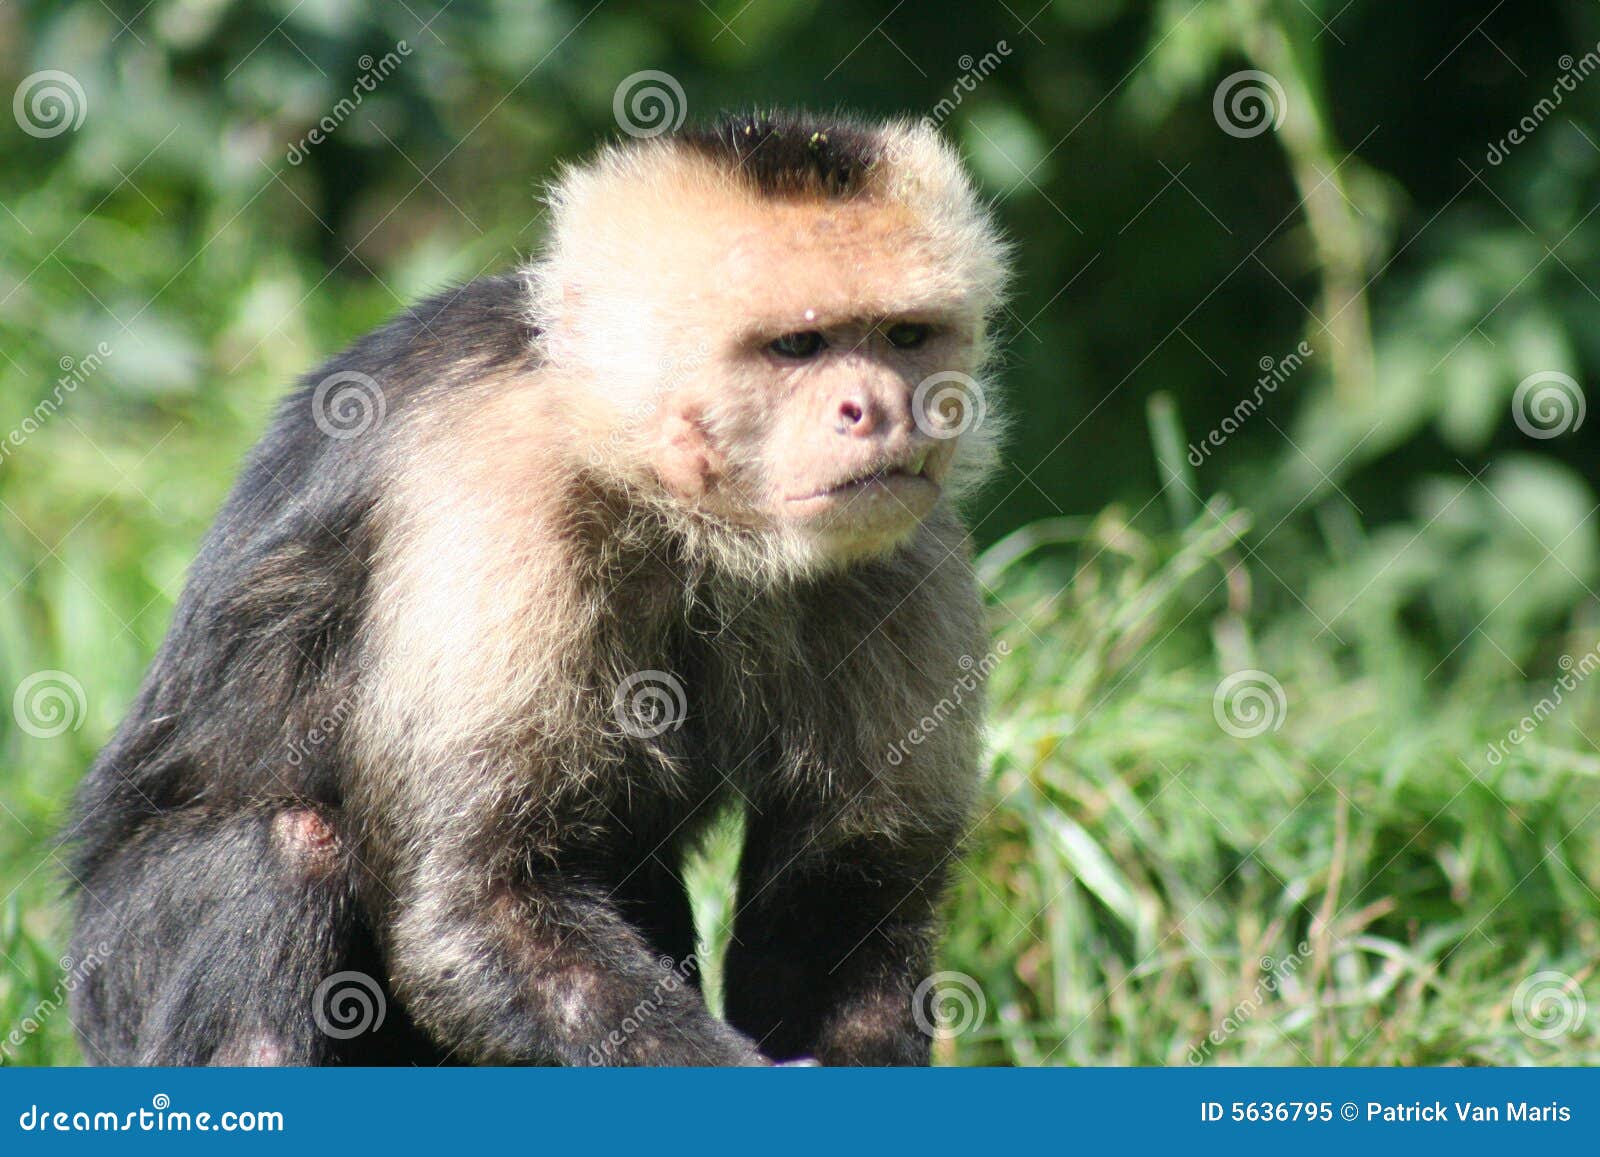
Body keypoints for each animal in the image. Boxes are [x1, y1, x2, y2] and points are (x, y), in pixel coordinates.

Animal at [65, 110, 1011, 1067]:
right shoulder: (503, 501)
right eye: (798, 346)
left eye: (904, 336)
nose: (878, 408)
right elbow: (482, 901)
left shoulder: (910, 554)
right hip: (116, 969)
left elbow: (844, 900)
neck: (667, 501)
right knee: (285, 847)